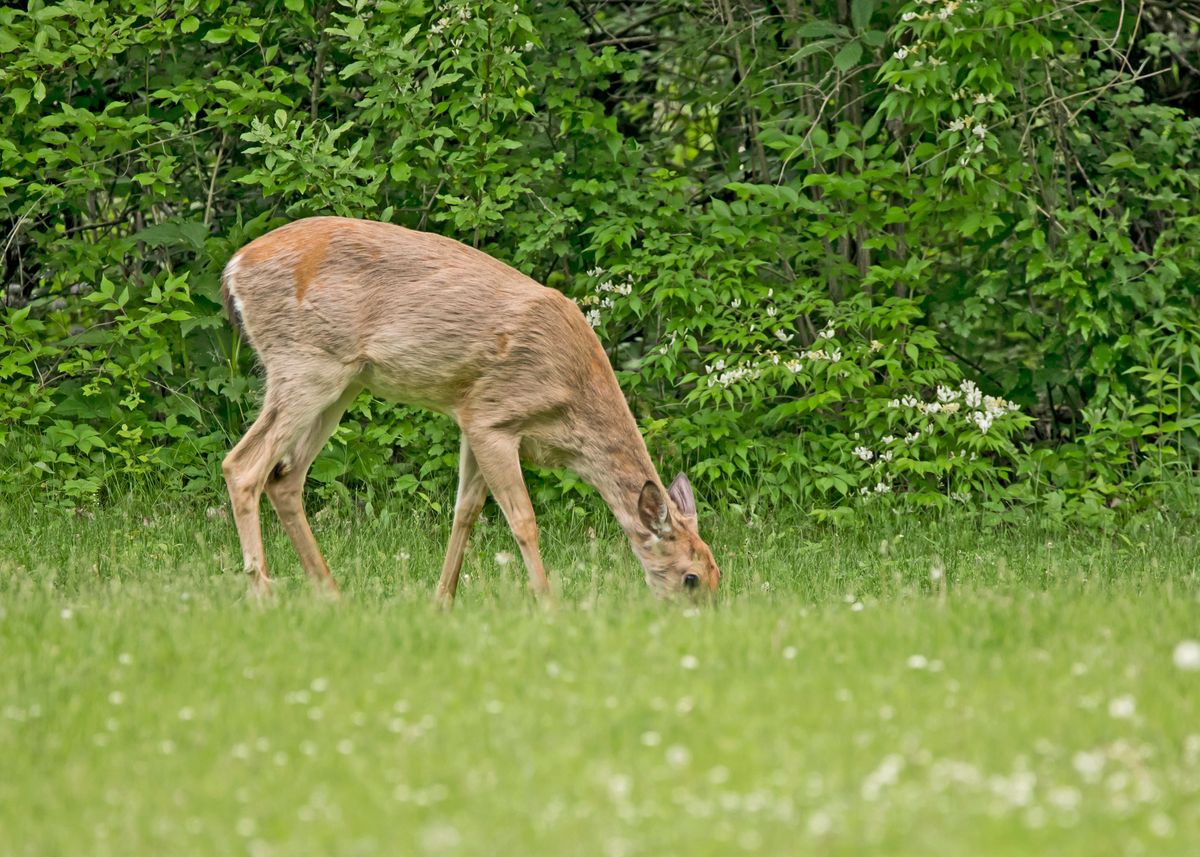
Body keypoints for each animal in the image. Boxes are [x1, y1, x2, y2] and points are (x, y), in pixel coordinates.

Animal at [220, 216, 720, 603]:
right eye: (690, 578)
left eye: (719, 573)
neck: (570, 410)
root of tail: (233, 266)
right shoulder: (492, 416)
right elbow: (523, 519)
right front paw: (549, 605)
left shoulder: (470, 418)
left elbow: (465, 511)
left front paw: (442, 601)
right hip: (304, 364)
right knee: (243, 465)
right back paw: (264, 594)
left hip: (342, 383)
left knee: (285, 477)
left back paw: (332, 596)